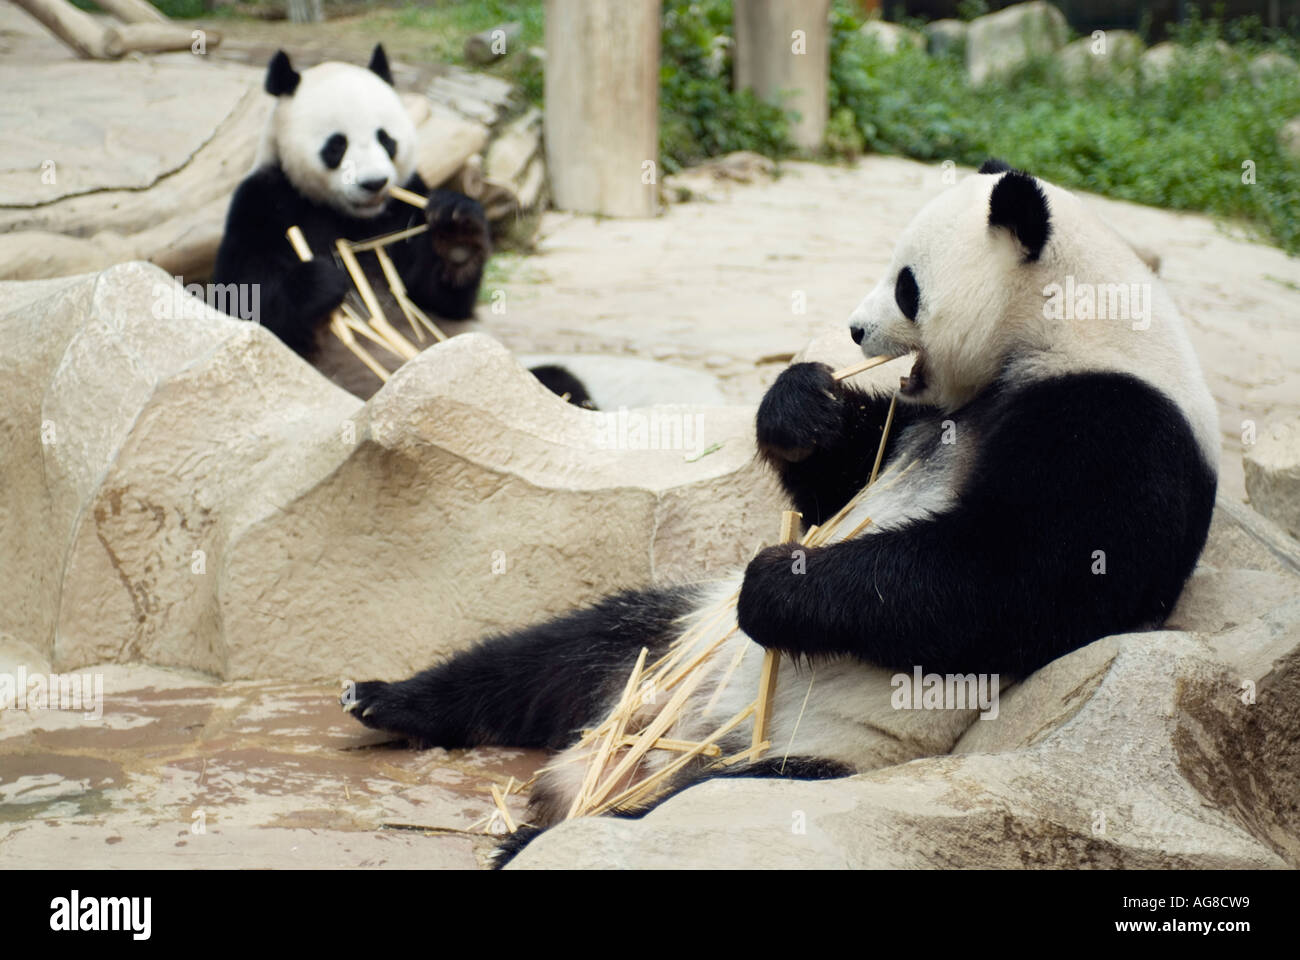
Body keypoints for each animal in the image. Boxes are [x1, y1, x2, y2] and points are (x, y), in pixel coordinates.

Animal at [212, 46, 589, 405]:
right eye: (337, 144)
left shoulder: (407, 198)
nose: (374, 183)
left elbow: (438, 297)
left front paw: (457, 233)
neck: (351, 217)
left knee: (556, 379)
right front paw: (321, 281)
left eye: (385, 139)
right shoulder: (263, 202)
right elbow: (243, 298)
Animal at [342, 161, 1219, 862]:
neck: (1068, 322)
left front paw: (775, 585)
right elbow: (845, 471)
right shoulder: (929, 419)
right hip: (667, 641)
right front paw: (802, 407)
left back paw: (540, 837)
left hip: (816, 756)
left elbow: (1016, 577)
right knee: (554, 653)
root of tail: (649, 749)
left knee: (693, 804)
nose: (856, 329)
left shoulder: (1120, 425)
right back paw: (390, 697)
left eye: (907, 282)